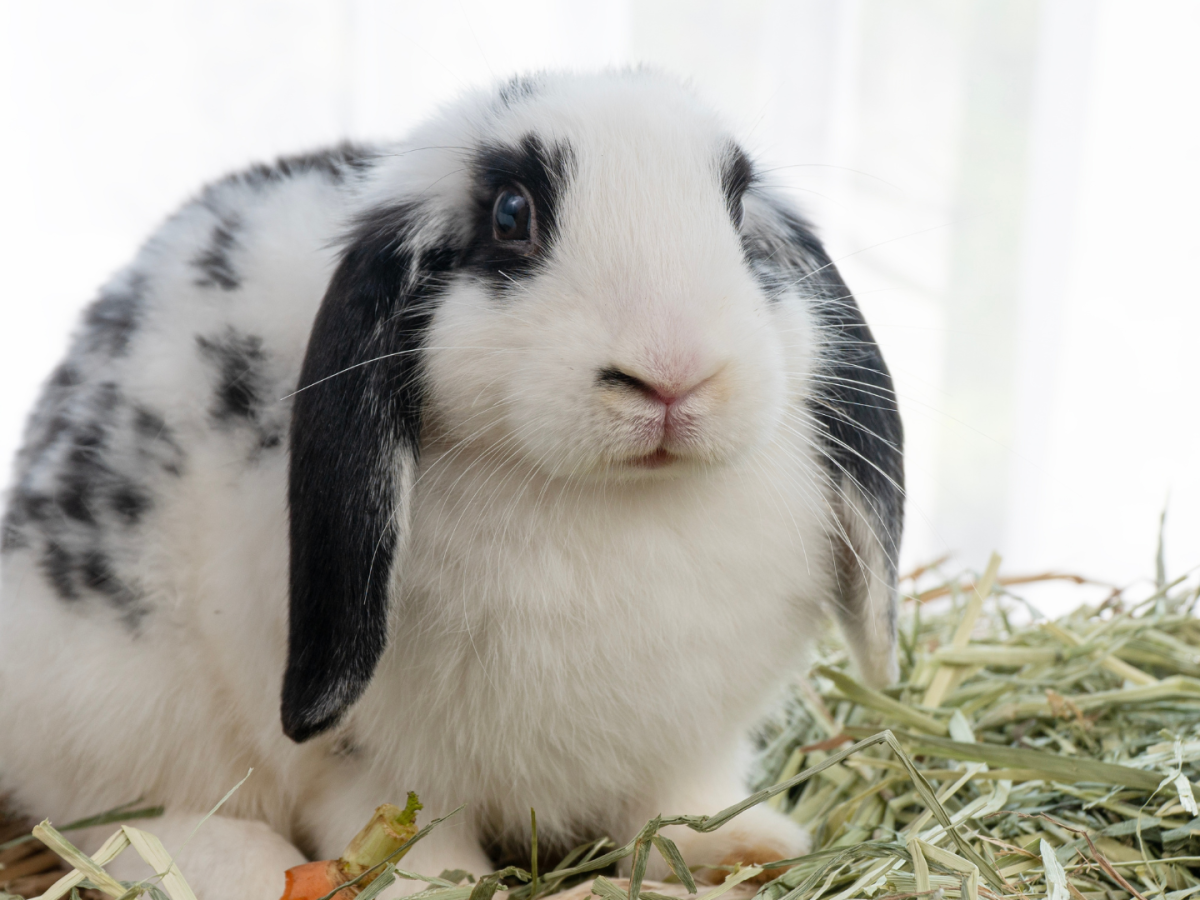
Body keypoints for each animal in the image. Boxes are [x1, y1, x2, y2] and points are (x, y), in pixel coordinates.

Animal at [0, 69, 903, 900]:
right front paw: (440, 886)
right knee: (124, 820)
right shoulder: (374, 764)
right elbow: (407, 835)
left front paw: (745, 852)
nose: (672, 375)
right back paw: (240, 865)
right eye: (510, 215)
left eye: (738, 209)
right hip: (113, 701)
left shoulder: (691, 748)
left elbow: (682, 805)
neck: (619, 504)